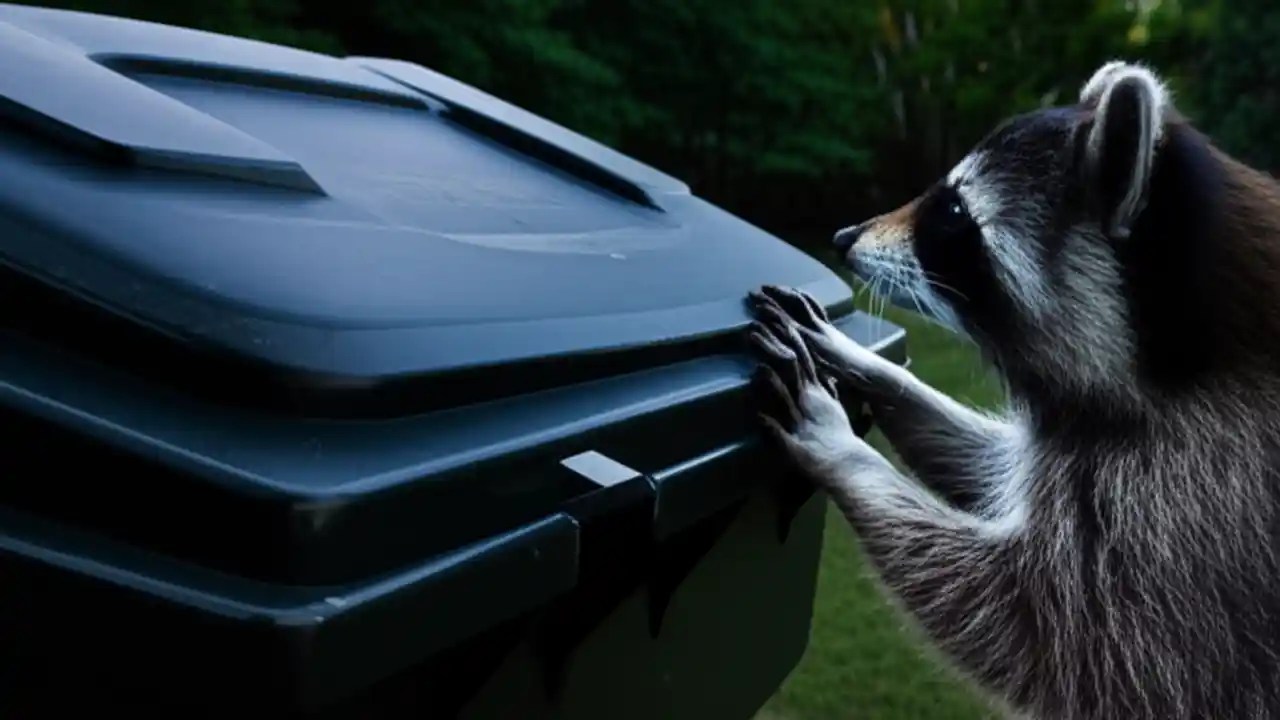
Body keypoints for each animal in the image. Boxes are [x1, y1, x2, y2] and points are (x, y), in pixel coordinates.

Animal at [747, 61, 1280, 720]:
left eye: (953, 211)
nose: (843, 237)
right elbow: (995, 464)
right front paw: (872, 367)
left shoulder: (1195, 498)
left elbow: (1041, 632)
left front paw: (847, 455)